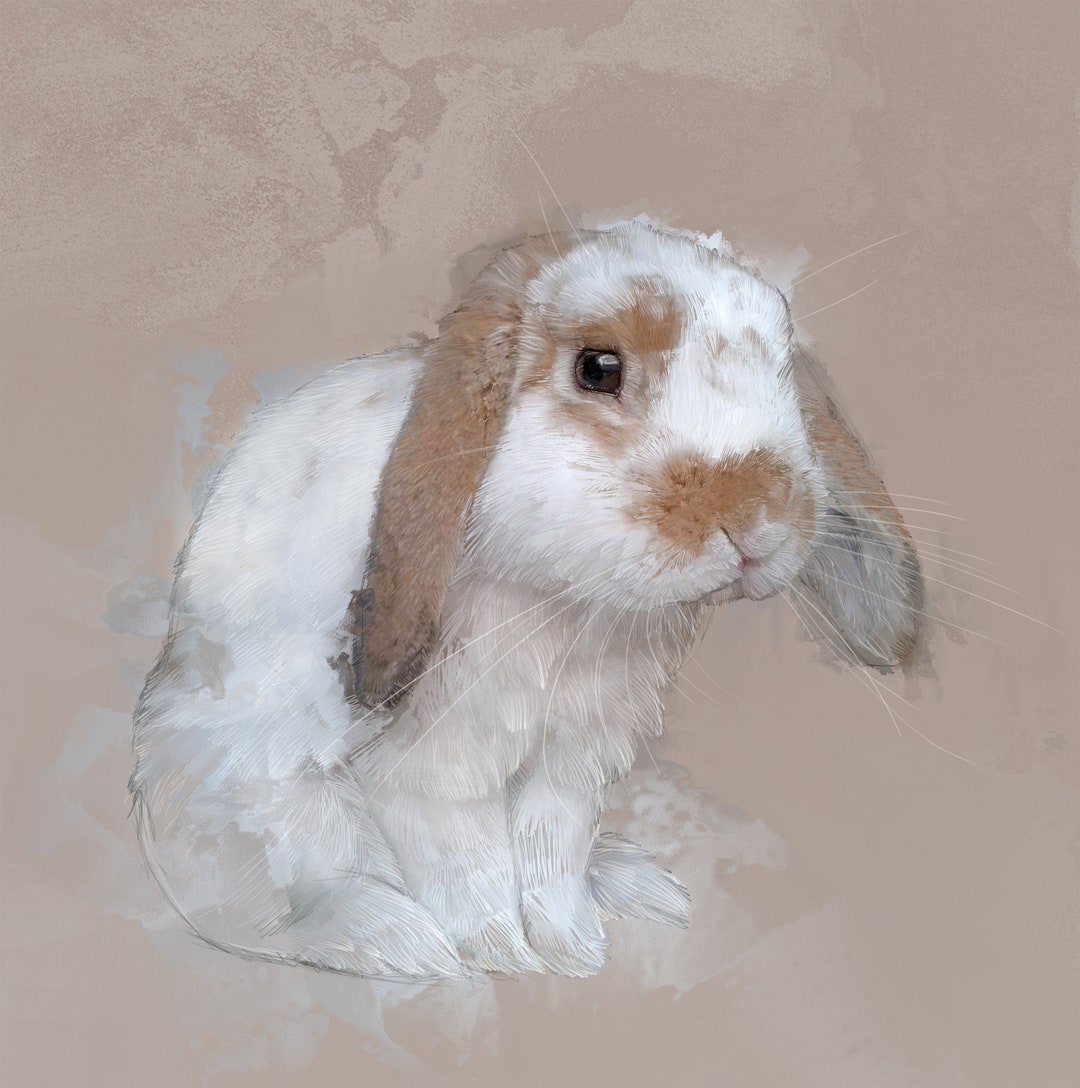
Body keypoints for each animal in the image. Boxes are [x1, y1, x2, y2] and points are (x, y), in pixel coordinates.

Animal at [130, 219, 923, 980]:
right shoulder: (429, 777)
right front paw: (500, 957)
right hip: (266, 805)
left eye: (784, 371)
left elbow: (551, 859)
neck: (567, 603)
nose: (758, 519)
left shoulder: (571, 762)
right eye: (598, 368)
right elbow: (469, 871)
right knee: (268, 913)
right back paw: (390, 939)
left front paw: (573, 949)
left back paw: (628, 881)